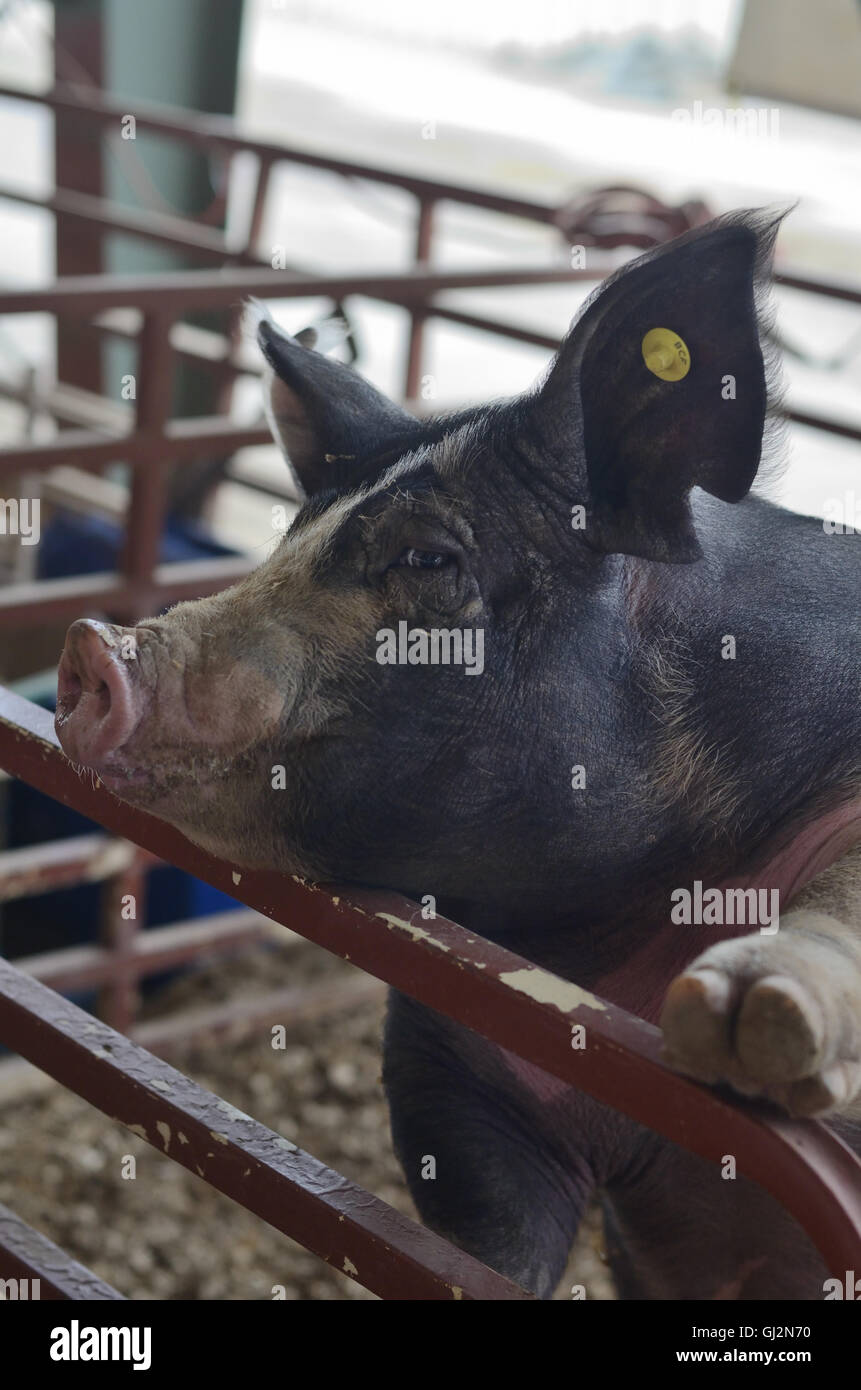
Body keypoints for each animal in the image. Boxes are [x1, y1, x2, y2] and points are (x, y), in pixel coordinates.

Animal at [55, 208, 861, 1299]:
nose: (93, 644)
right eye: (293, 532)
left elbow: (843, 896)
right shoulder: (458, 1069)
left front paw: (739, 1019)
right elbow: (478, 1249)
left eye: (428, 558)